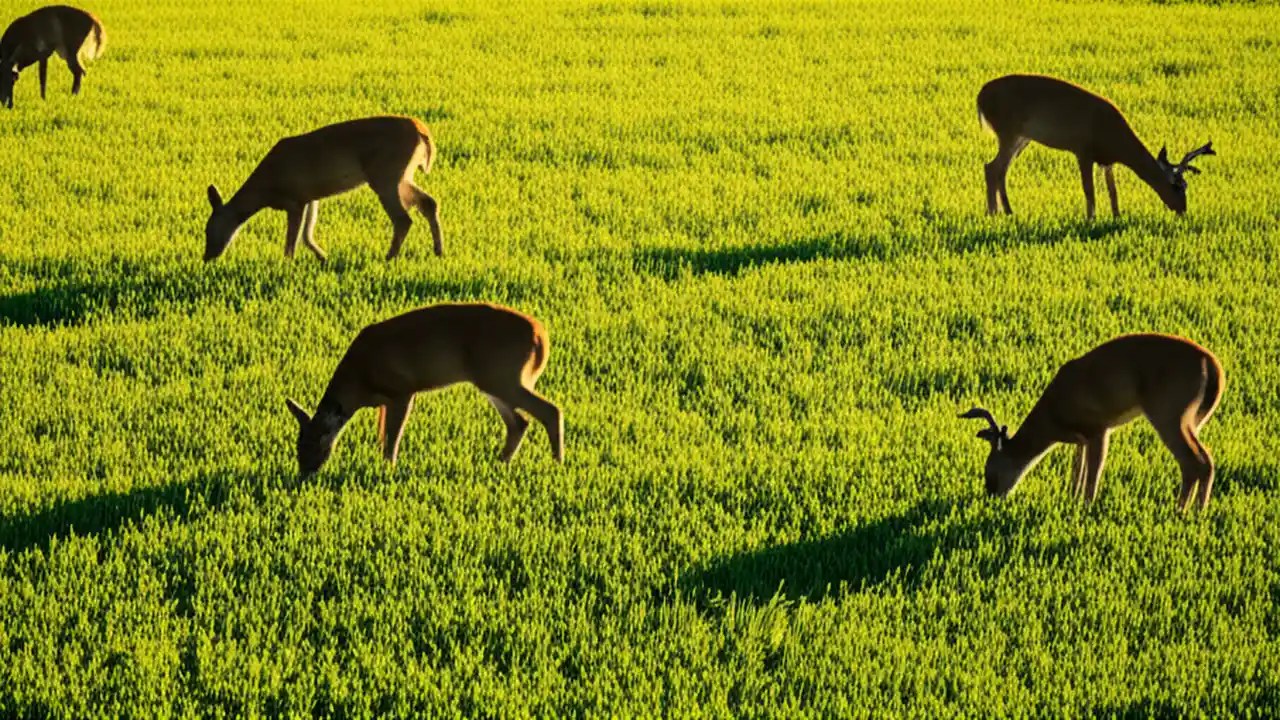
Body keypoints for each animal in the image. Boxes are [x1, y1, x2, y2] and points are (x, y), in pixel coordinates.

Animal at [204, 115, 443, 263]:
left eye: (208, 230)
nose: (207, 256)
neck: (267, 189)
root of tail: (423, 132)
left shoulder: (295, 199)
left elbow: (293, 239)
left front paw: (287, 263)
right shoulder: (311, 196)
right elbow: (307, 234)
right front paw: (323, 257)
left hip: (386, 173)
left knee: (403, 219)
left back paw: (389, 257)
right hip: (401, 174)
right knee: (428, 203)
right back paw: (438, 251)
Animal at [284, 302, 564, 477]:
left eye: (314, 443)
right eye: (298, 445)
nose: (305, 472)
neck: (360, 381)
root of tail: (541, 336)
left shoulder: (403, 390)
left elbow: (392, 438)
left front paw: (388, 468)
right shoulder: (384, 401)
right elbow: (383, 435)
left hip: (504, 376)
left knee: (550, 410)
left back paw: (557, 464)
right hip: (494, 380)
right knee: (519, 422)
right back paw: (500, 463)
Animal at [960, 334, 1225, 511]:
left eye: (989, 471)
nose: (991, 496)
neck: (1053, 418)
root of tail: (1214, 367)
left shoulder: (1099, 427)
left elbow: (1093, 471)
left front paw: (1086, 506)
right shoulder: (1083, 437)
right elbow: (1078, 468)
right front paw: (1072, 498)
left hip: (1169, 412)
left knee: (1195, 461)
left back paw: (1184, 511)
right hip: (1194, 419)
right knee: (1204, 459)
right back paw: (1197, 510)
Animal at [977, 74, 1215, 220]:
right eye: (1180, 187)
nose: (1183, 210)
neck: (1115, 140)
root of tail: (980, 97)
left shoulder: (1106, 160)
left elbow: (1113, 191)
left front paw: (1117, 216)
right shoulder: (1083, 149)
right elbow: (1089, 189)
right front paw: (1091, 218)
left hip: (1021, 138)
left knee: (1000, 170)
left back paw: (1006, 211)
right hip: (1008, 131)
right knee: (991, 167)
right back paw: (993, 212)